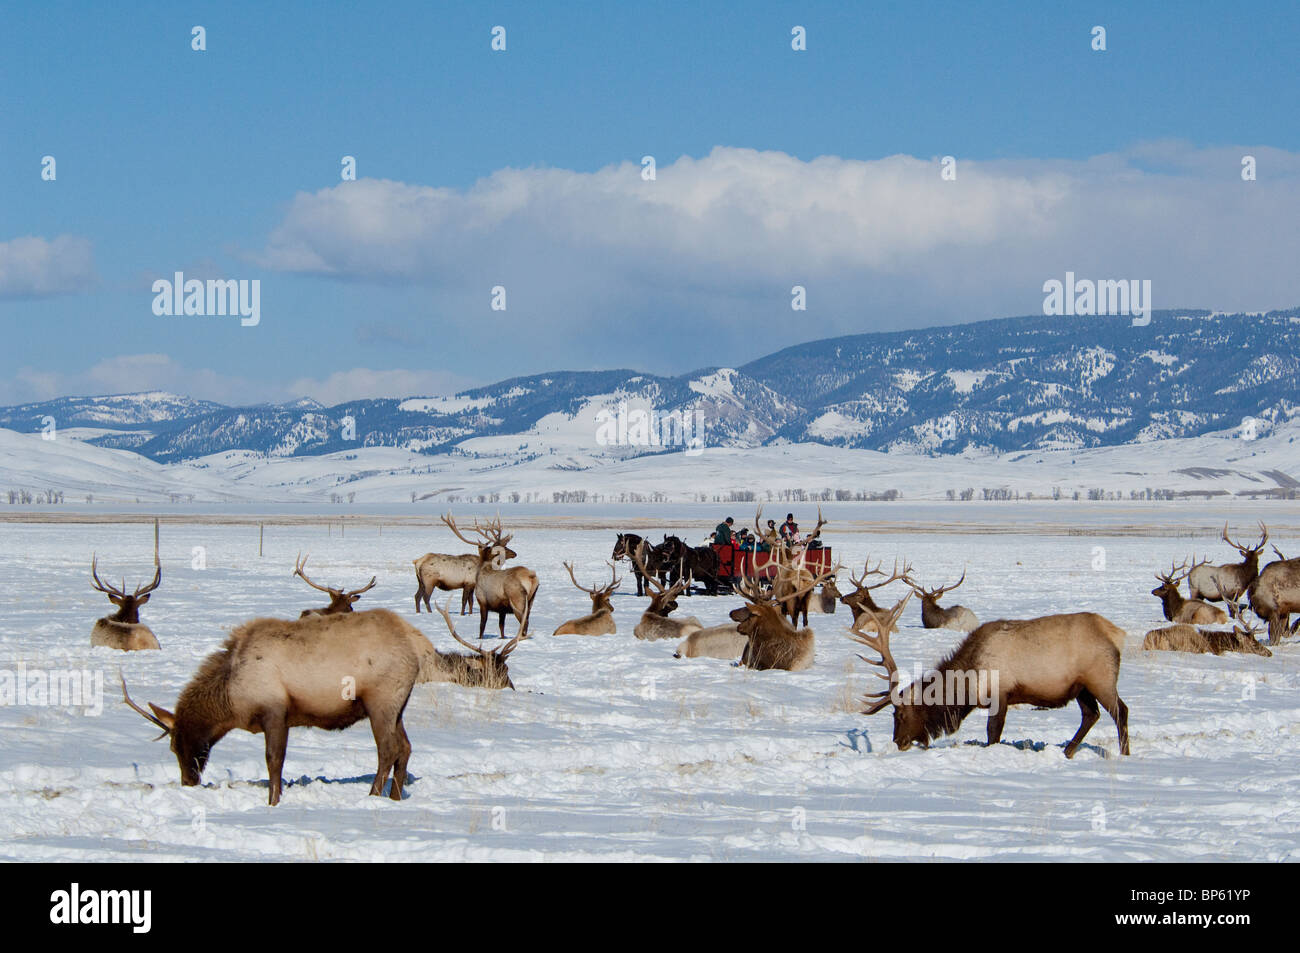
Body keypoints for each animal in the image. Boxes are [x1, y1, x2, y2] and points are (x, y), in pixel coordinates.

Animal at [121, 608, 440, 805]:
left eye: (177, 745)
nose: (189, 781)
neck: (231, 699)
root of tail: (418, 644)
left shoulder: (274, 711)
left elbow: (274, 760)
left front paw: (273, 801)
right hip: (397, 705)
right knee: (405, 747)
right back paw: (395, 796)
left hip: (381, 701)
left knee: (388, 748)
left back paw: (373, 795)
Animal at [850, 596, 1130, 758]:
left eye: (900, 714)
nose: (899, 742)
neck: (967, 684)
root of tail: (1115, 633)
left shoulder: (1000, 694)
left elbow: (993, 732)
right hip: (1081, 687)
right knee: (1091, 714)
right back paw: (1068, 752)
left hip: (1101, 678)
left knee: (1121, 711)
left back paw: (1124, 754)